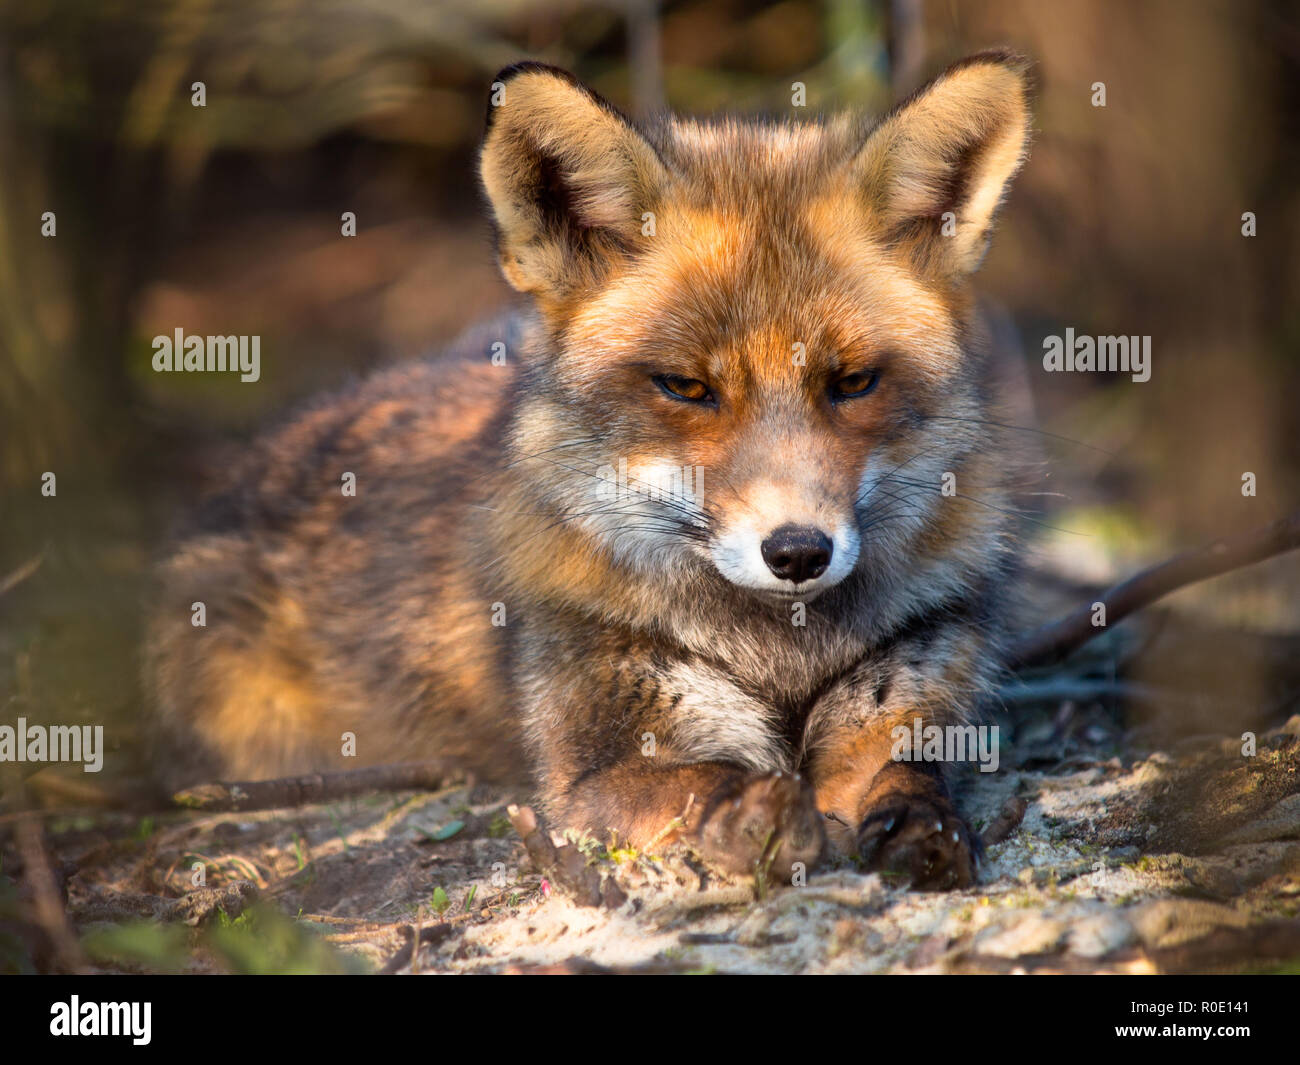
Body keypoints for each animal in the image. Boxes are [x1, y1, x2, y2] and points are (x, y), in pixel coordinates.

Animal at [145, 52, 1033, 890]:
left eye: (852, 382)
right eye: (686, 386)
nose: (797, 552)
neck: (779, 657)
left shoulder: (898, 701)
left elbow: (906, 777)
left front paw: (923, 829)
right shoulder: (595, 766)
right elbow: (708, 783)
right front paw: (760, 819)